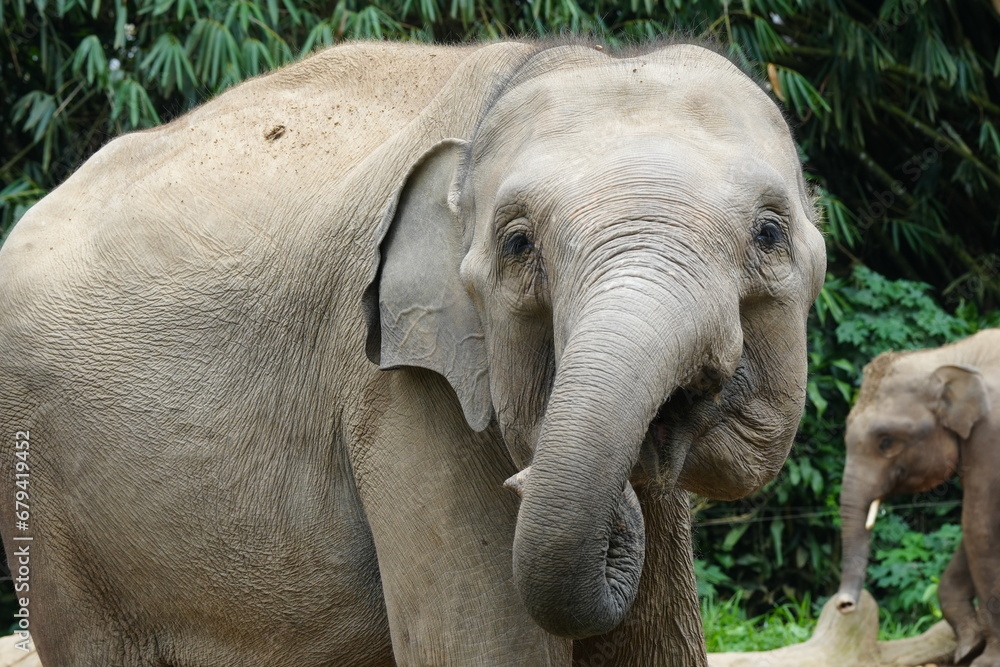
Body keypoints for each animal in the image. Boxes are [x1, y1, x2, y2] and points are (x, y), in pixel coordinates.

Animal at [835, 329, 1000, 667]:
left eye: (886, 441)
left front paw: (986, 660)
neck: (951, 356)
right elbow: (971, 529)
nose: (844, 605)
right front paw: (968, 648)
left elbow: (980, 526)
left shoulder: (991, 436)